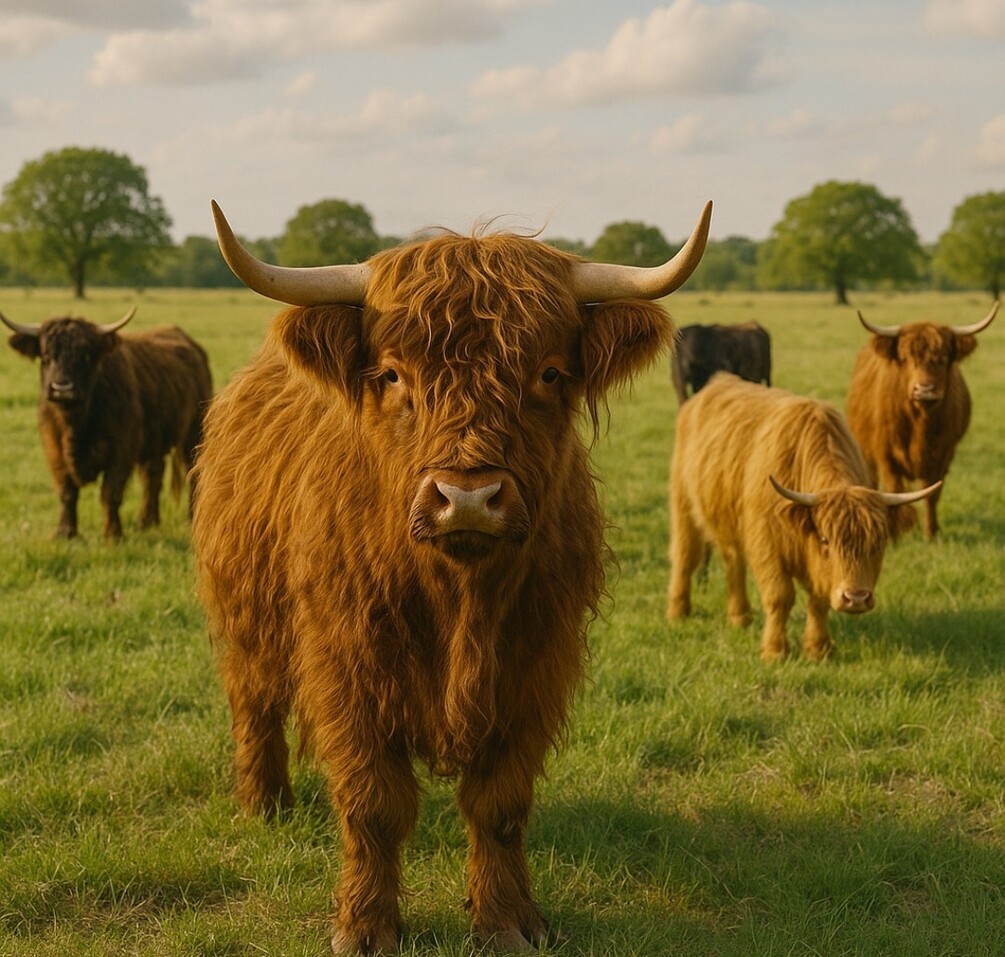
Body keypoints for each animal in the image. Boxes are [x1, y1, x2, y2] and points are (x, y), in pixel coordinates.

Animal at [2, 308, 213, 540]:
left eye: (85, 356)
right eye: (46, 356)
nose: (62, 388)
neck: (76, 422)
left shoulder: (121, 452)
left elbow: (110, 492)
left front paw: (113, 534)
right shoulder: (54, 451)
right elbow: (66, 492)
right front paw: (65, 532)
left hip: (193, 434)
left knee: (193, 473)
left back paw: (192, 519)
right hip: (153, 442)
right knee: (152, 476)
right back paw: (147, 521)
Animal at [192, 199, 712, 953]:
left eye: (548, 373)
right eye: (391, 375)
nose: (467, 498)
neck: (460, 598)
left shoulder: (533, 668)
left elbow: (499, 803)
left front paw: (506, 919)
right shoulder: (348, 667)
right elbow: (374, 804)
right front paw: (366, 925)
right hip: (247, 619)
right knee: (253, 701)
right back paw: (265, 804)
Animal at [667, 373, 939, 662]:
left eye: (878, 545)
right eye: (825, 540)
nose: (855, 598)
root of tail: (718, 382)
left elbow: (818, 600)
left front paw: (818, 649)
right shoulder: (767, 546)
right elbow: (780, 596)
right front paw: (775, 651)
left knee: (733, 562)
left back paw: (740, 617)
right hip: (683, 505)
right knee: (685, 557)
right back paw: (678, 613)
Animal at [846, 302, 998, 539]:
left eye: (943, 358)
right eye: (905, 358)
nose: (925, 389)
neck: (920, 423)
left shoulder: (943, 454)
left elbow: (931, 493)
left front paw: (931, 533)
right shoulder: (886, 454)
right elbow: (893, 490)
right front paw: (892, 534)